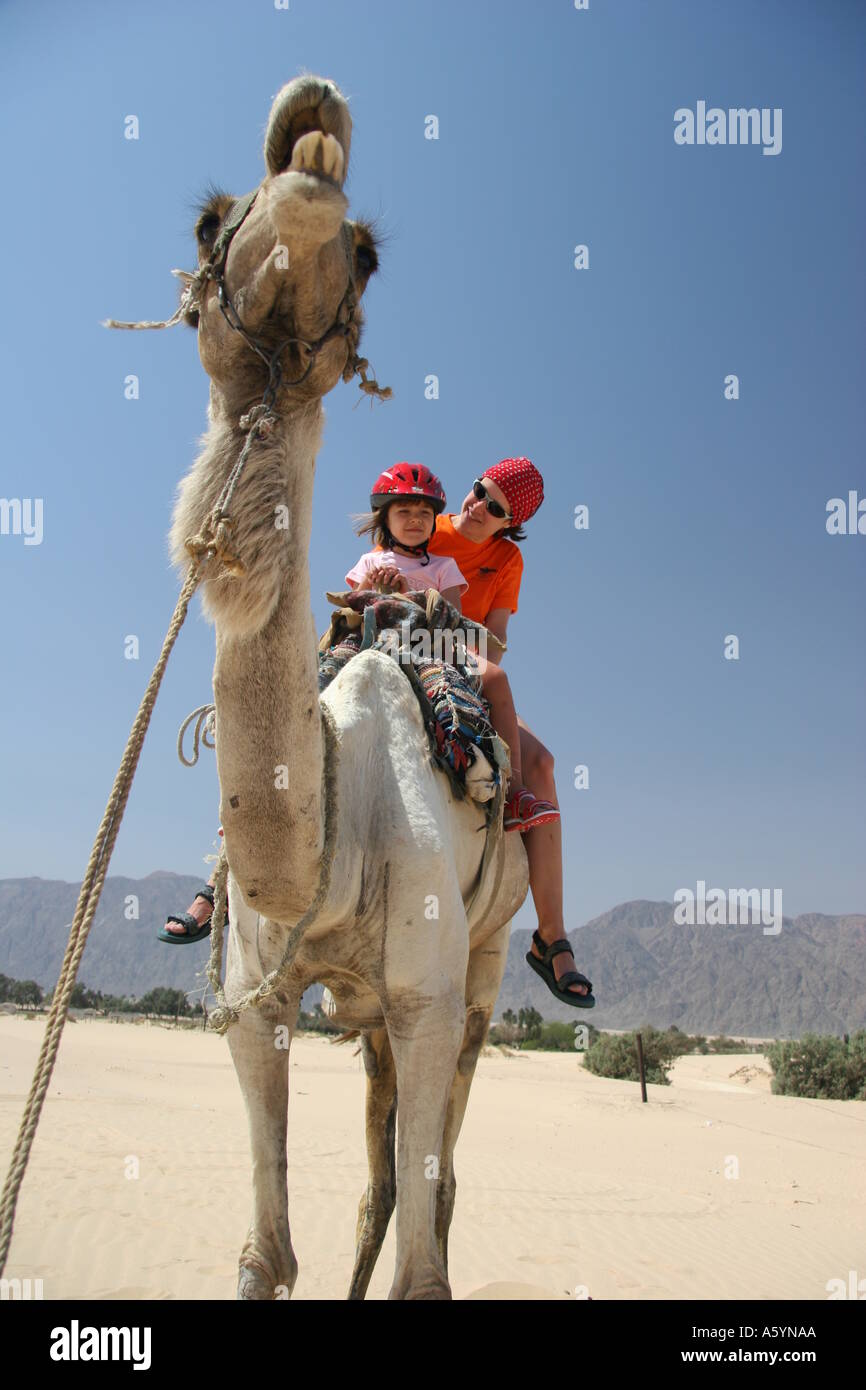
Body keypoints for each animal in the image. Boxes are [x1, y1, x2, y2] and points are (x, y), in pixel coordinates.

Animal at [167, 74, 529, 1300]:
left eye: (366, 253)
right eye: (206, 220)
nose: (310, 127)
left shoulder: (423, 1001)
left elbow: (425, 1259)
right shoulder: (252, 1003)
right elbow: (262, 1251)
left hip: (477, 973)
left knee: (439, 1173)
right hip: (364, 1017)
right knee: (380, 1177)